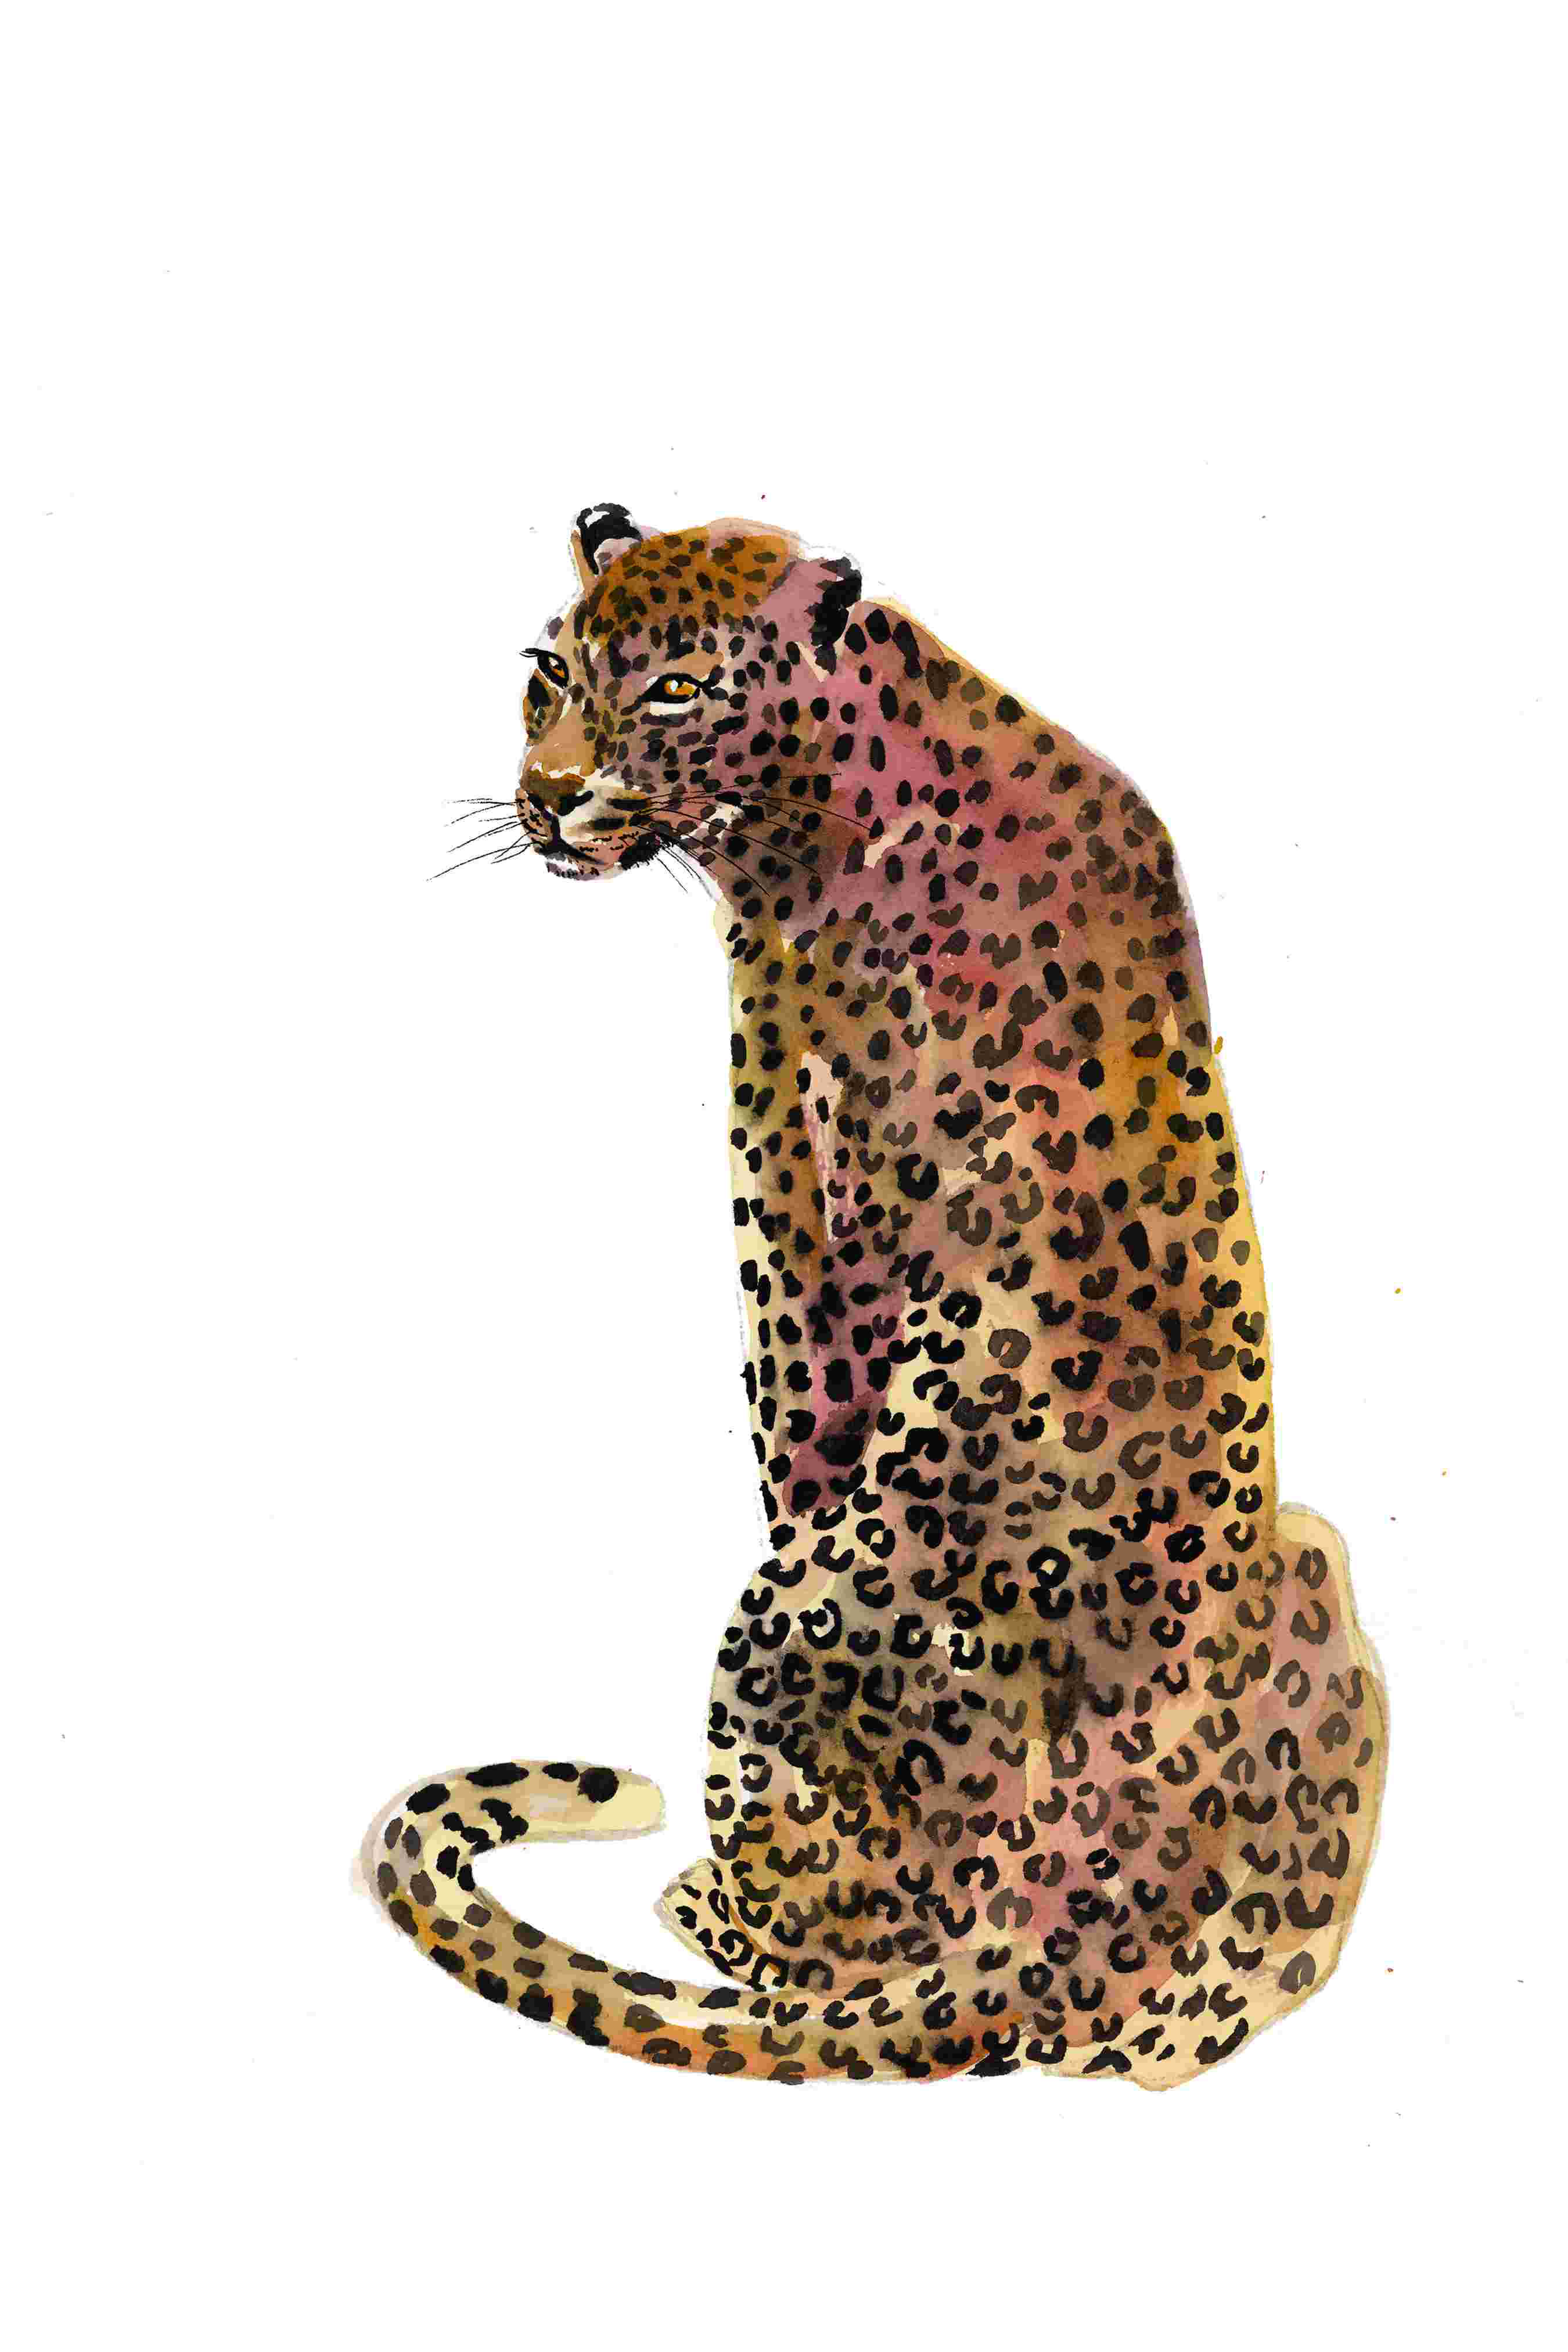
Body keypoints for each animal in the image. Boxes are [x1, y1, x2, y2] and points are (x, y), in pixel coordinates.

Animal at [364, 502, 1387, 2084]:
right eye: (550, 676)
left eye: (674, 691)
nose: (547, 797)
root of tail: (1046, 1904)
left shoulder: (793, 1214)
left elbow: (792, 1420)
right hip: (1316, 1566)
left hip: (790, 1613)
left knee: (820, 1939)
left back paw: (709, 1900)